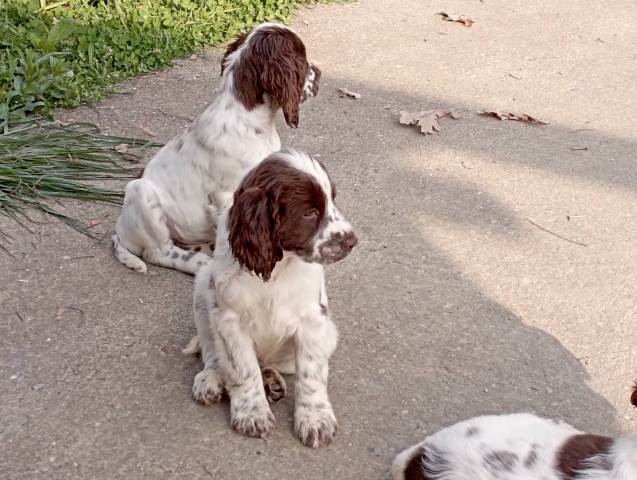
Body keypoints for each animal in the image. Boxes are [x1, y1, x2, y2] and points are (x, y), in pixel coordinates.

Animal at [112, 23, 320, 274]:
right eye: (302, 58)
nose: (320, 74)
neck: (247, 117)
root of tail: (120, 230)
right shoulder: (226, 197)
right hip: (140, 192)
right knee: (158, 252)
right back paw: (200, 262)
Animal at [183, 149, 358, 446]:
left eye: (333, 199)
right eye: (309, 212)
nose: (351, 241)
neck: (278, 268)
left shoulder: (313, 319)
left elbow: (311, 373)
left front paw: (315, 419)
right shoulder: (230, 320)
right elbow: (242, 368)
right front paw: (252, 413)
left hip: (328, 333)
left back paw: (272, 379)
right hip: (203, 288)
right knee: (213, 352)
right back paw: (212, 378)